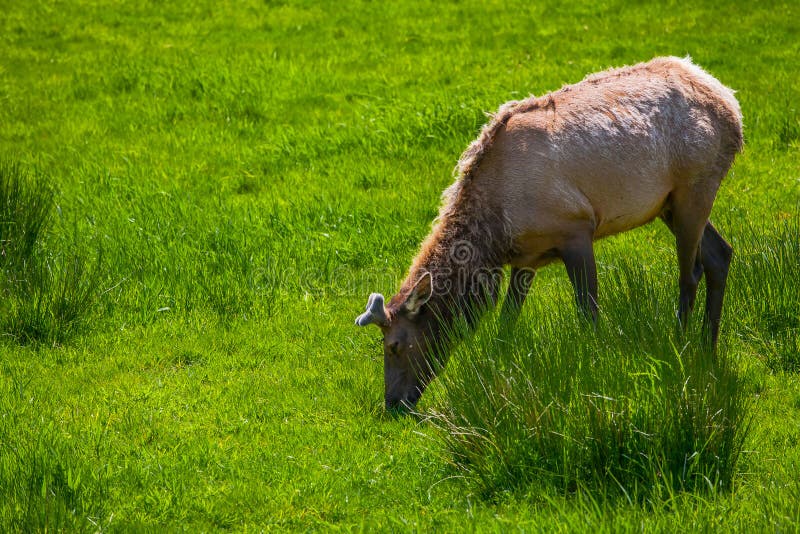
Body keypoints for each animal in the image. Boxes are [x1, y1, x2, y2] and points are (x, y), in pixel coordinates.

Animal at [355, 57, 743, 410]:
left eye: (393, 345)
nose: (393, 403)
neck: (496, 233)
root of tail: (731, 106)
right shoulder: (525, 259)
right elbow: (506, 326)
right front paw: (496, 376)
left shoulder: (577, 228)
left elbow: (588, 314)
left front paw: (596, 370)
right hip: (670, 204)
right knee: (719, 254)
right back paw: (708, 348)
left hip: (696, 184)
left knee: (690, 272)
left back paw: (680, 345)